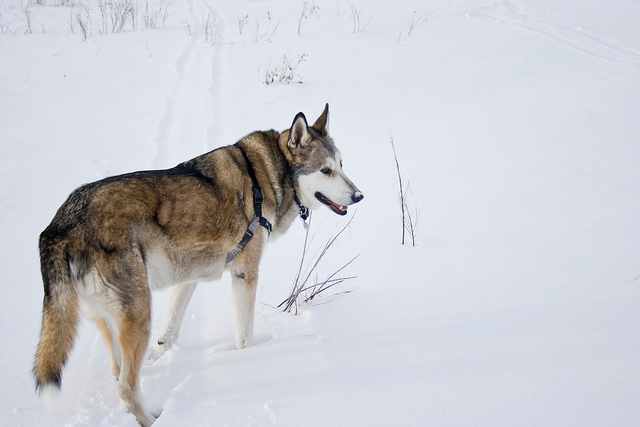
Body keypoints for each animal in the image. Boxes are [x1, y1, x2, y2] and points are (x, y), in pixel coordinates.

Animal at [33, 104, 363, 426]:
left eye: (342, 164)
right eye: (326, 170)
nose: (359, 196)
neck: (267, 176)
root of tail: (61, 223)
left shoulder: (189, 278)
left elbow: (170, 331)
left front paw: (160, 354)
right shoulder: (244, 275)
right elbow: (245, 336)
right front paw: (245, 362)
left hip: (109, 316)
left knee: (119, 372)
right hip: (139, 311)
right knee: (126, 386)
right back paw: (152, 418)